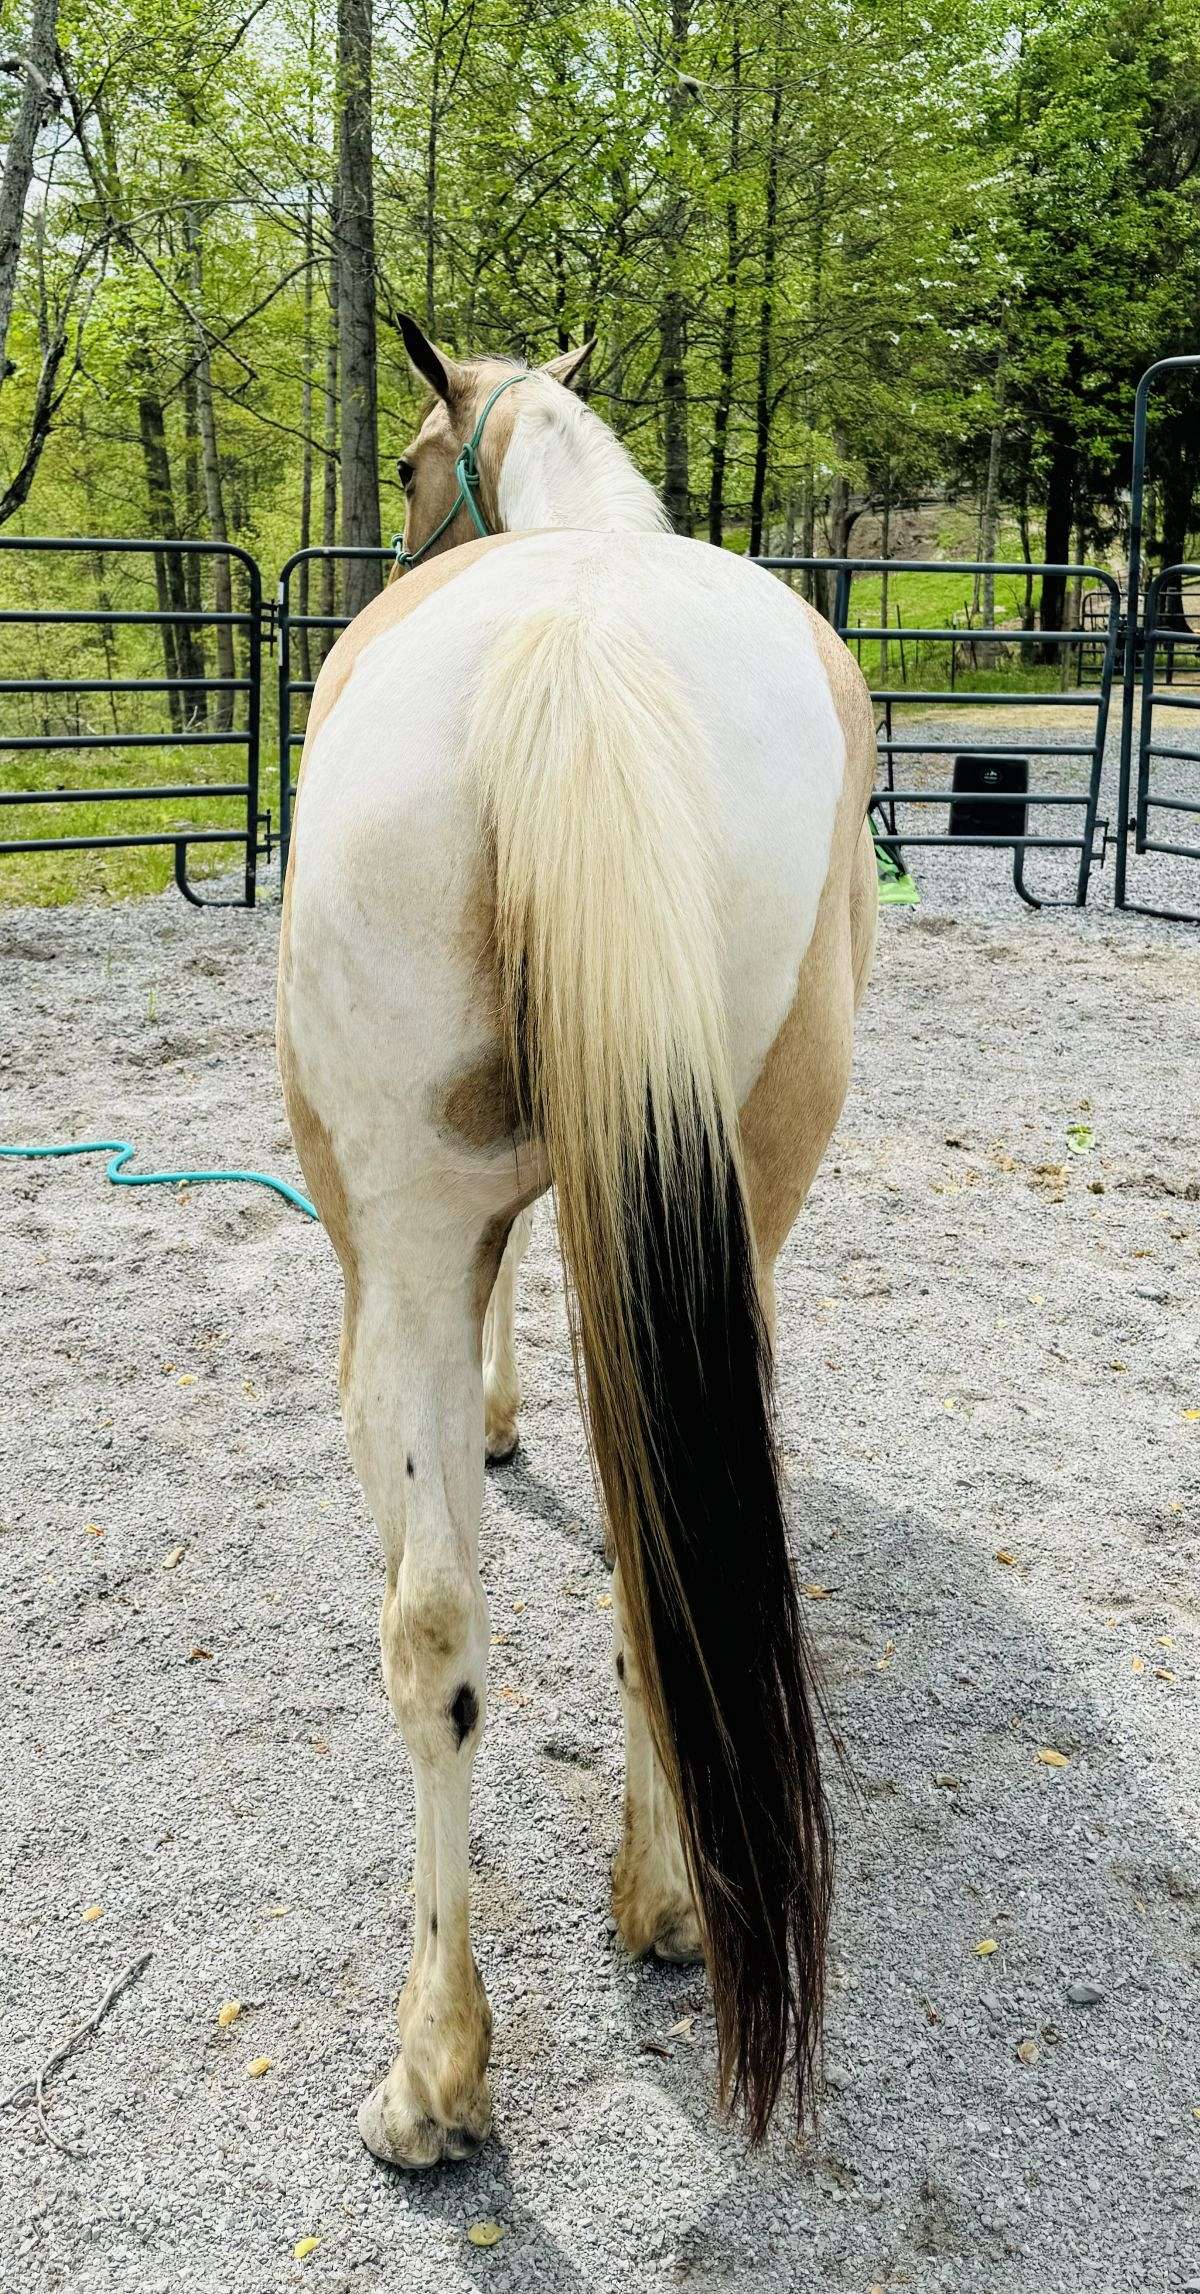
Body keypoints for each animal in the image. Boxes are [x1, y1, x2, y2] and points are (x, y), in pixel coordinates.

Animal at [276, 314, 878, 2169]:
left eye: (415, 458)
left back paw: (437, 2067)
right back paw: (644, 1913)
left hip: (390, 1237)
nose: (400, 541)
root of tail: (577, 650)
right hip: (737, 1198)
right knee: (636, 1563)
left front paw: (488, 1414)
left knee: (438, 1624)